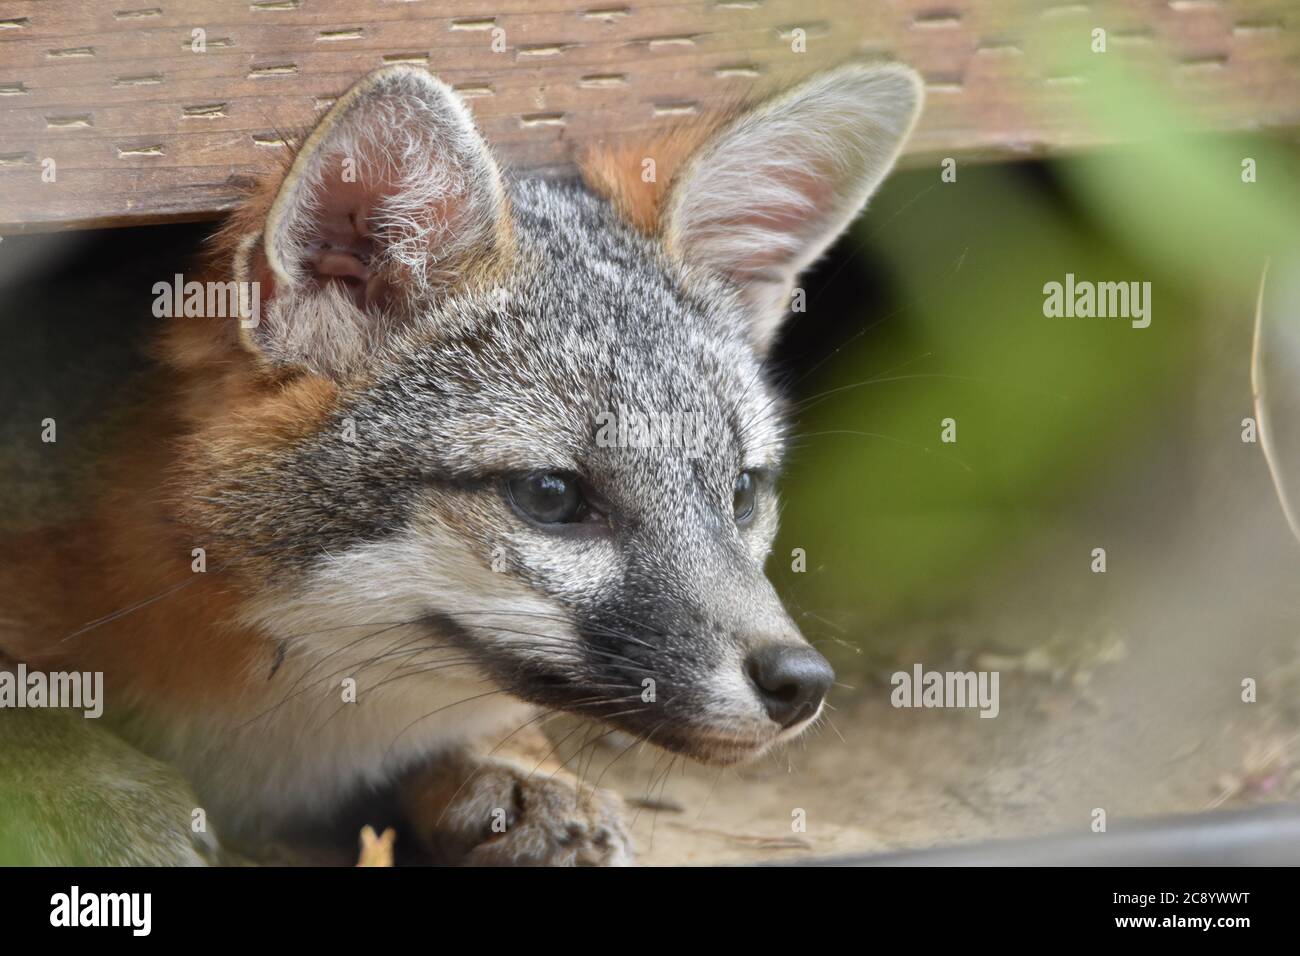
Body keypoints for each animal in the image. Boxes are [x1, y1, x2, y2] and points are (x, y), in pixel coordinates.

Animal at [0, 62, 922, 865]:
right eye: (551, 494)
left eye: (741, 492)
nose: (800, 682)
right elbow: (22, 703)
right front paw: (87, 785)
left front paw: (516, 765)